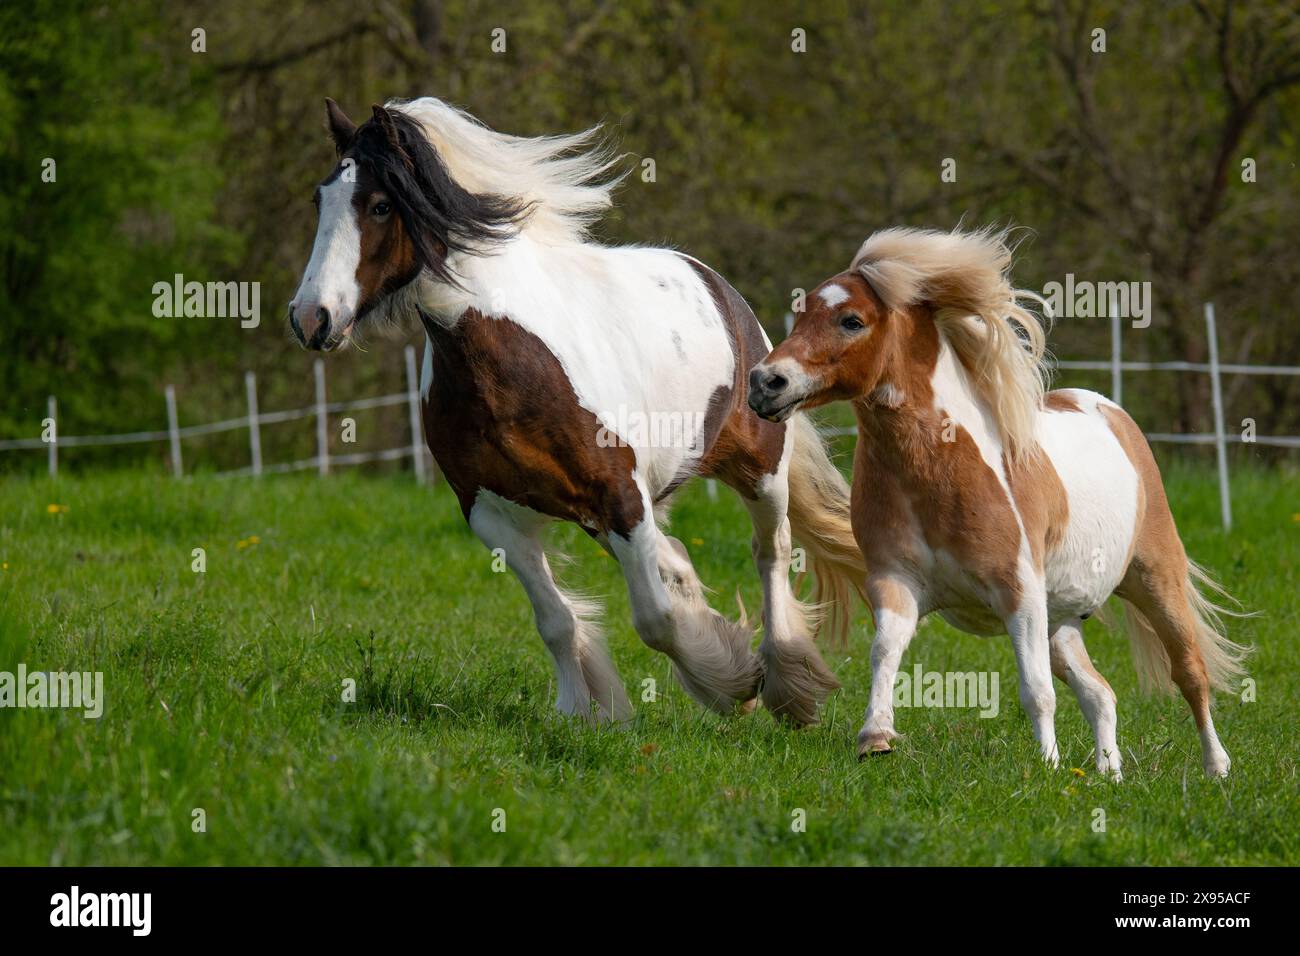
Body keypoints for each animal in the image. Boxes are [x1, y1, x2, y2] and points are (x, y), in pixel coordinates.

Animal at [287, 97, 866, 726]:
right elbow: (557, 622)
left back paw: (786, 684)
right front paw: (584, 713)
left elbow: (656, 620)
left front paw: (730, 683)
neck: (503, 360)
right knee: (678, 560)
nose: (310, 317)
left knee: (771, 553)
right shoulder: (491, 514)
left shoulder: (621, 498)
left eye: (379, 204)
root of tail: (718, 287)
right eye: (319, 199)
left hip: (758, 470)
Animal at [748, 226, 1250, 778]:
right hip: (1062, 623)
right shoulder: (896, 584)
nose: (765, 383)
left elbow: (1036, 692)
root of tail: (1111, 412)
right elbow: (884, 652)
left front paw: (1048, 768)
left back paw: (1216, 768)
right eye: (801, 315)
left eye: (851, 320)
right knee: (1100, 693)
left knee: (1190, 673)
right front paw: (875, 739)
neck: (939, 475)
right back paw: (1108, 774)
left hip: (1154, 579)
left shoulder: (1019, 594)